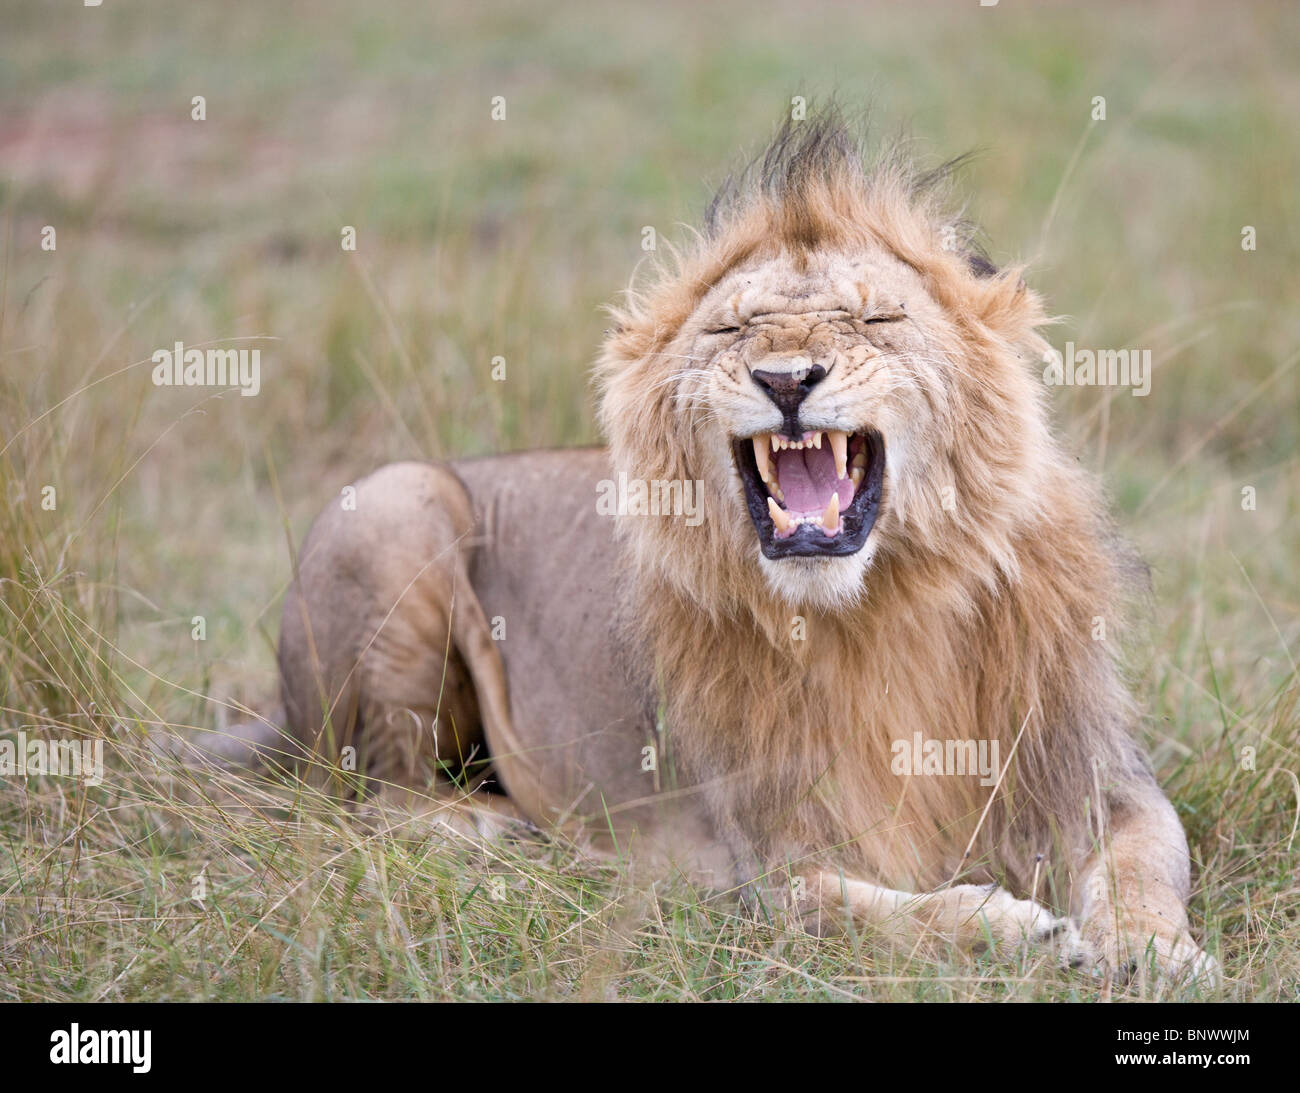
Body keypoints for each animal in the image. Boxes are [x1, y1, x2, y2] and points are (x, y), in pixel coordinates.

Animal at [251, 113, 1217, 985]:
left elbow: (1145, 861)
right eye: (729, 332)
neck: (881, 605)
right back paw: (495, 828)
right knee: (370, 798)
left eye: (876, 317)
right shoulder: (756, 859)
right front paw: (1016, 931)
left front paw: (1157, 952)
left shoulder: (1097, 774)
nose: (786, 379)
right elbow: (854, 909)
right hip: (397, 503)